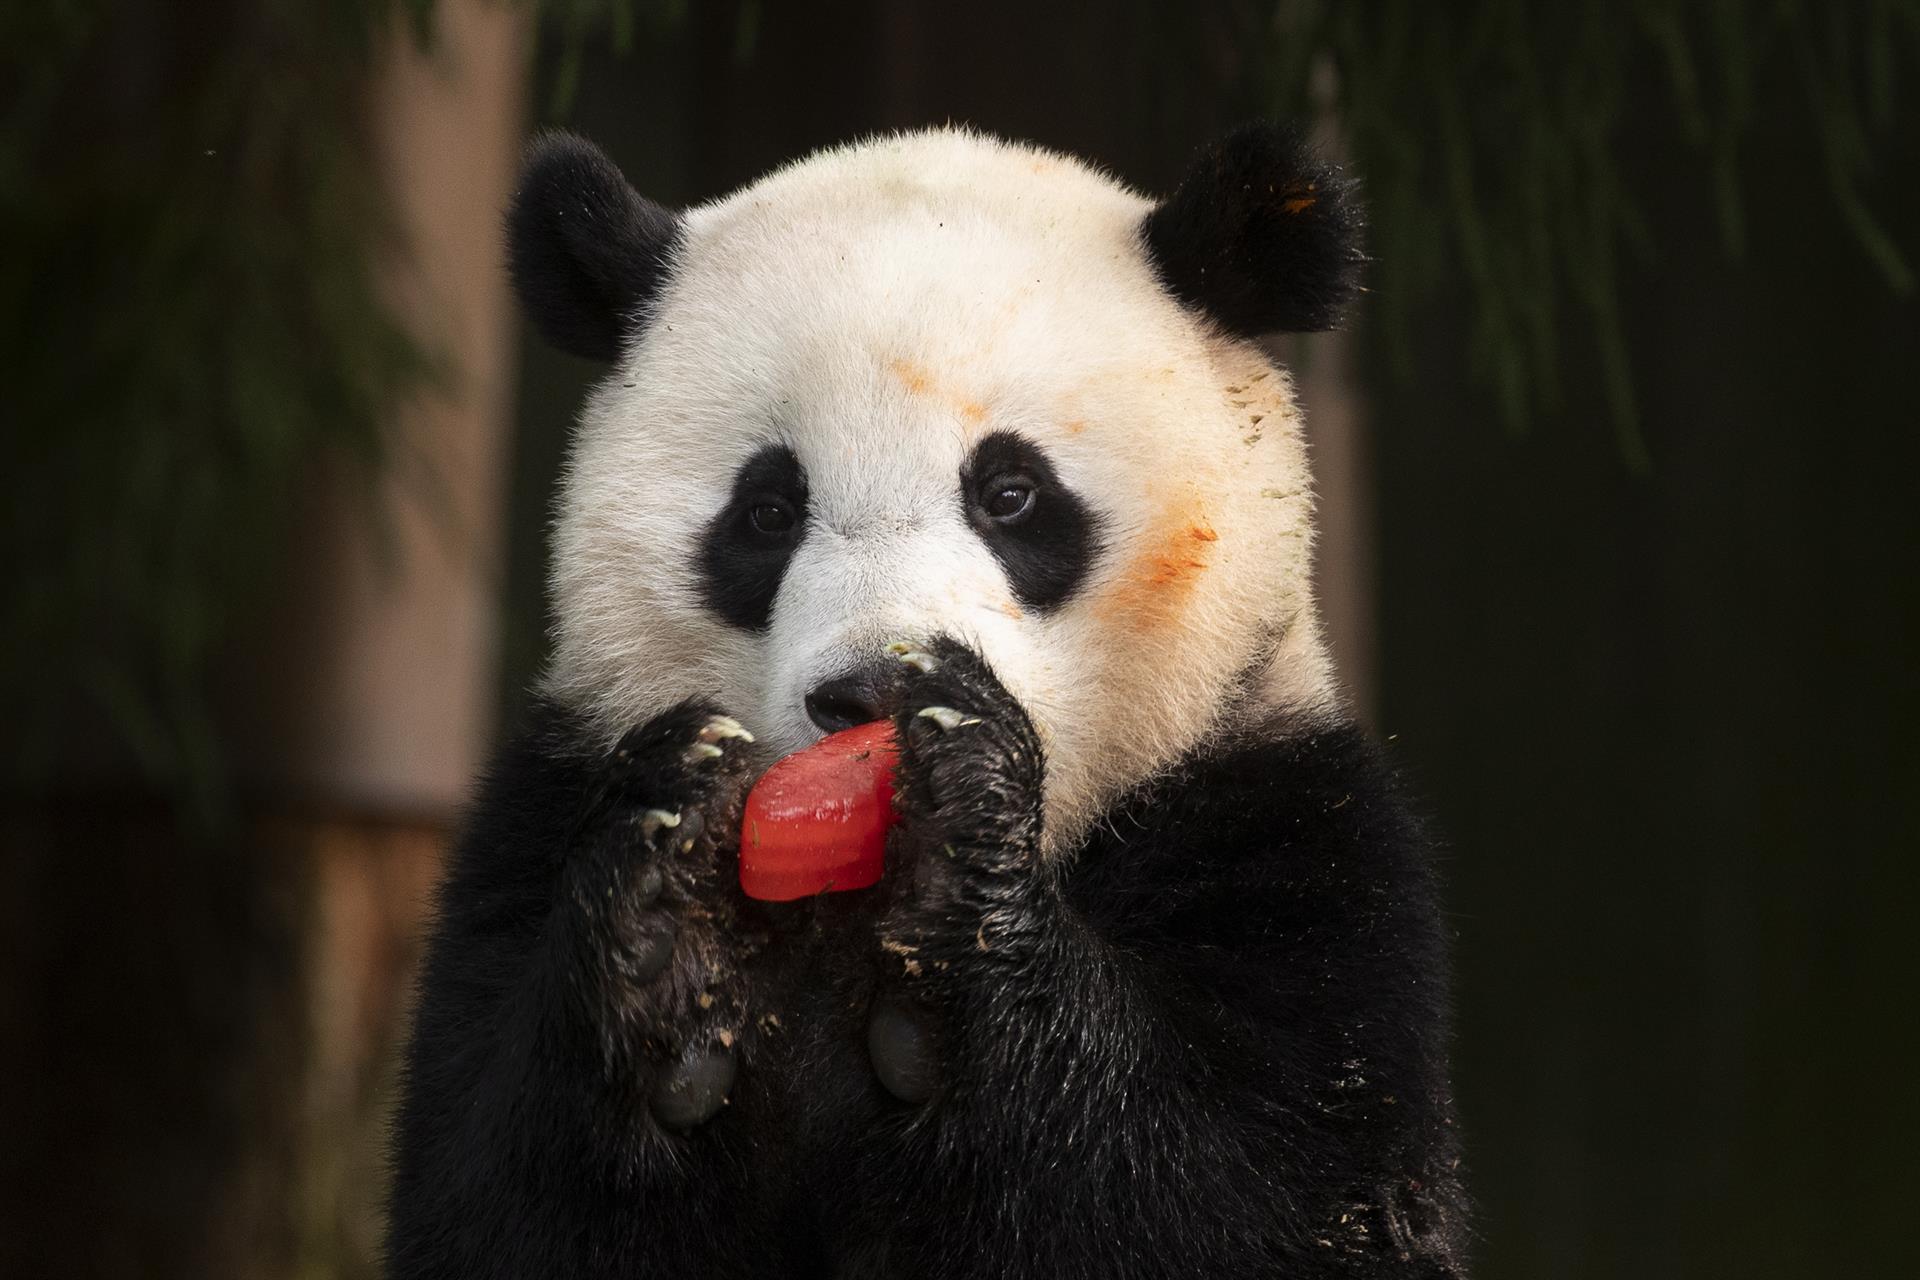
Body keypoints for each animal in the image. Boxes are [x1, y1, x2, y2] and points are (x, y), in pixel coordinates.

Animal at [387, 124, 1469, 1279]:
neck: (845, 922)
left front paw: (964, 819)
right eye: (768, 510)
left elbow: (1275, 1196)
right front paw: (665, 897)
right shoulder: (530, 831)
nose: (863, 690)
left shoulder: (1290, 835)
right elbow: (490, 1200)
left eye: (1011, 494)